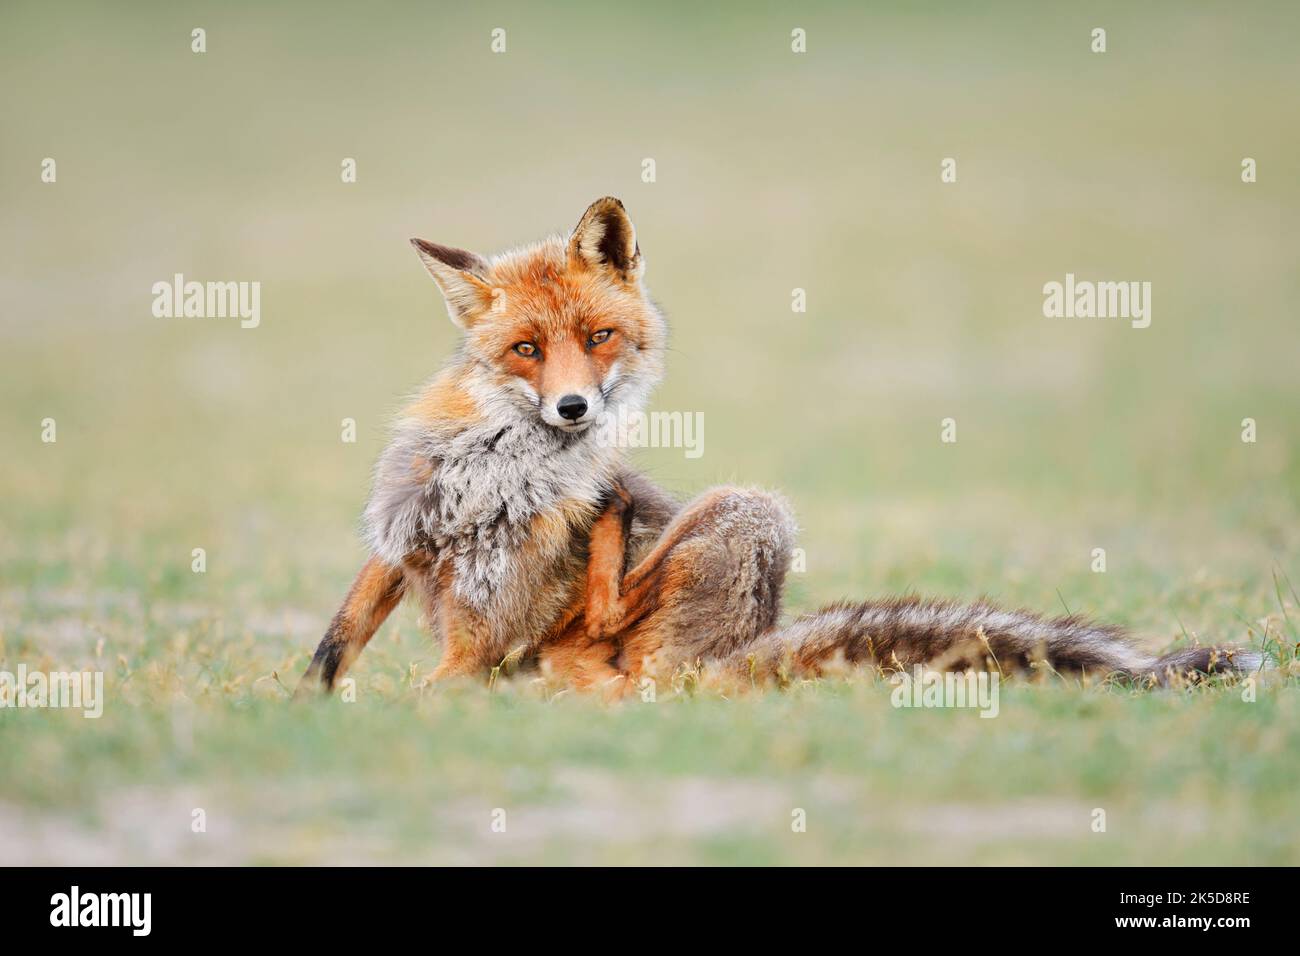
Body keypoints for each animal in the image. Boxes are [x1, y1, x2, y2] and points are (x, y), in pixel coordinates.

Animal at [298, 196, 1261, 698]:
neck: (493, 464)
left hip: (741, 511)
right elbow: (339, 637)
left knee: (615, 651)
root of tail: (738, 651)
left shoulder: (495, 614)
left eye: (600, 337)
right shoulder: (404, 533)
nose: (573, 409)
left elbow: (442, 678)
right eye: (526, 350)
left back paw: (612, 522)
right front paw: (301, 703)